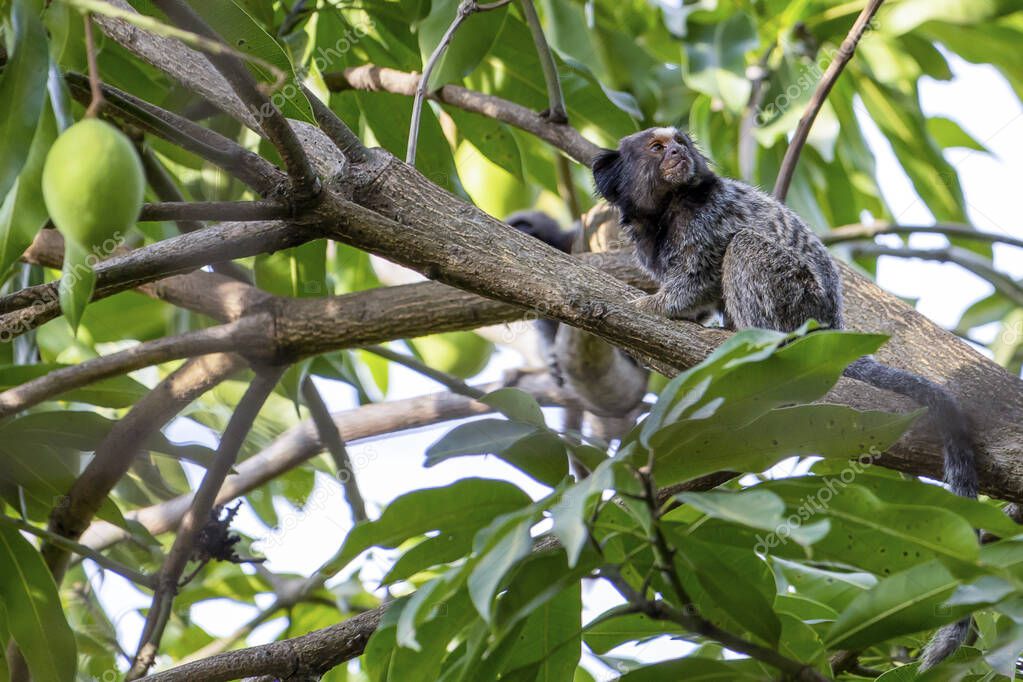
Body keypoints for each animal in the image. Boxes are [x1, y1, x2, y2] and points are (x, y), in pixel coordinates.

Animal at [592, 126, 978, 669]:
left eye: (679, 142)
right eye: (656, 147)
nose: (678, 153)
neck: (667, 211)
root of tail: (831, 327)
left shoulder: (706, 218)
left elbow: (700, 274)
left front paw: (654, 306)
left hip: (798, 299)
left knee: (745, 248)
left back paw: (757, 339)